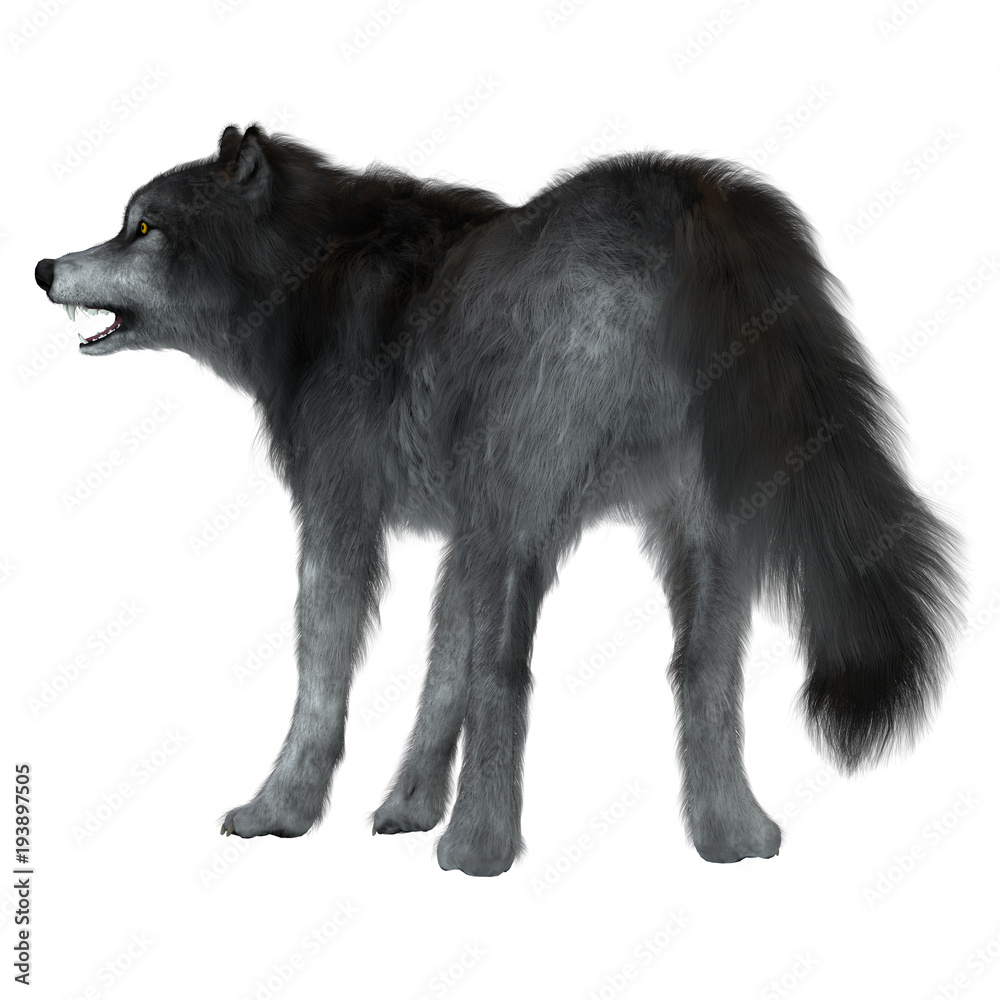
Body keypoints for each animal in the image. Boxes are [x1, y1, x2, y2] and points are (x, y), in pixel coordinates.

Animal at [36, 125, 964, 876]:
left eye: (143, 227)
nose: (44, 267)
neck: (311, 275)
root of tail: (688, 192)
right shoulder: (464, 532)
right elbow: (442, 675)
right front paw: (407, 805)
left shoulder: (347, 517)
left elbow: (327, 680)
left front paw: (283, 812)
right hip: (697, 536)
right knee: (704, 673)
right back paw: (730, 837)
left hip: (524, 524)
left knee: (510, 674)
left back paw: (478, 849)